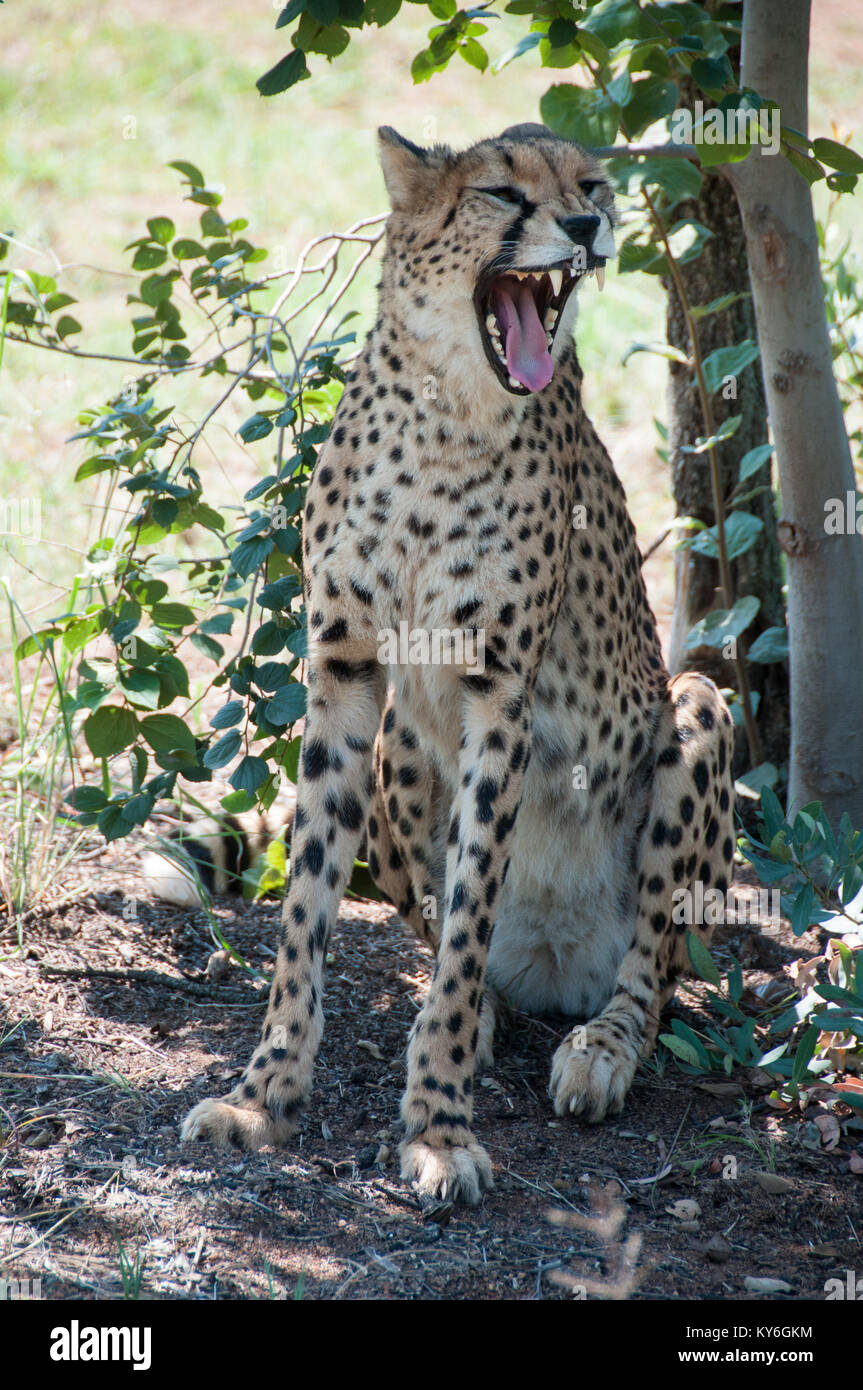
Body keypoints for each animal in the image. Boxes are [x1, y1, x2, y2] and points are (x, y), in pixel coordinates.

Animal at [181, 122, 736, 1205]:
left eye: (590, 182)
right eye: (500, 193)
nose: (586, 224)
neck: (447, 411)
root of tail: (555, 967)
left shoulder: (498, 693)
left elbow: (473, 897)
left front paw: (436, 1127)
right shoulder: (345, 674)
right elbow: (308, 913)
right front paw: (263, 1096)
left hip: (694, 708)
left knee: (649, 973)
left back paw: (595, 1047)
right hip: (400, 736)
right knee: (436, 928)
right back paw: (484, 1012)